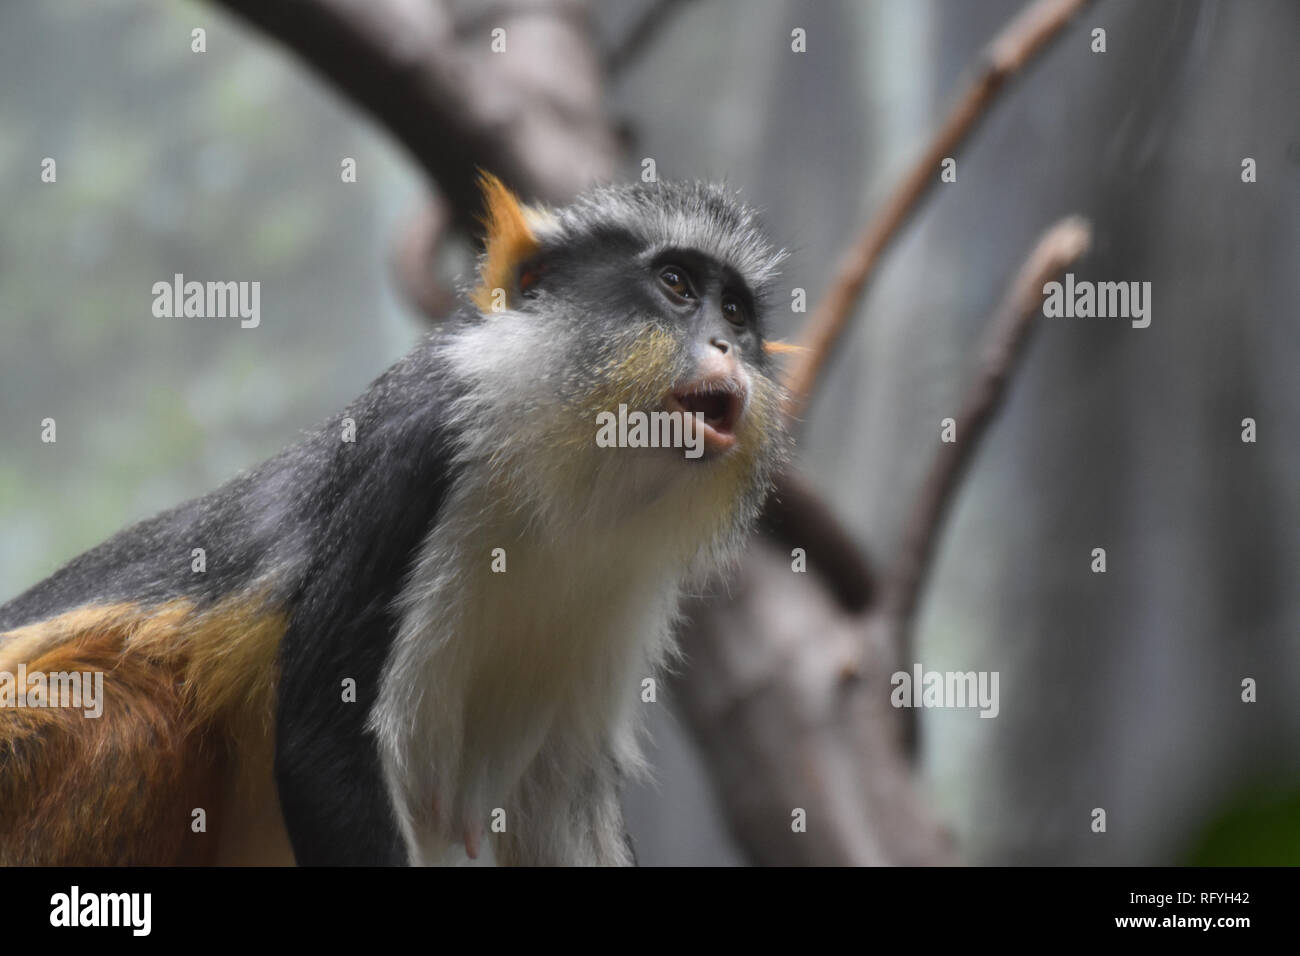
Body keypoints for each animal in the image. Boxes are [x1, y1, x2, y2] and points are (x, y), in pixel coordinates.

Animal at [0, 175, 789, 866]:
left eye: (736, 313)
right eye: (677, 285)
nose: (726, 347)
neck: (568, 473)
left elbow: (556, 796)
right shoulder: (419, 448)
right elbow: (322, 742)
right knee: (127, 722)